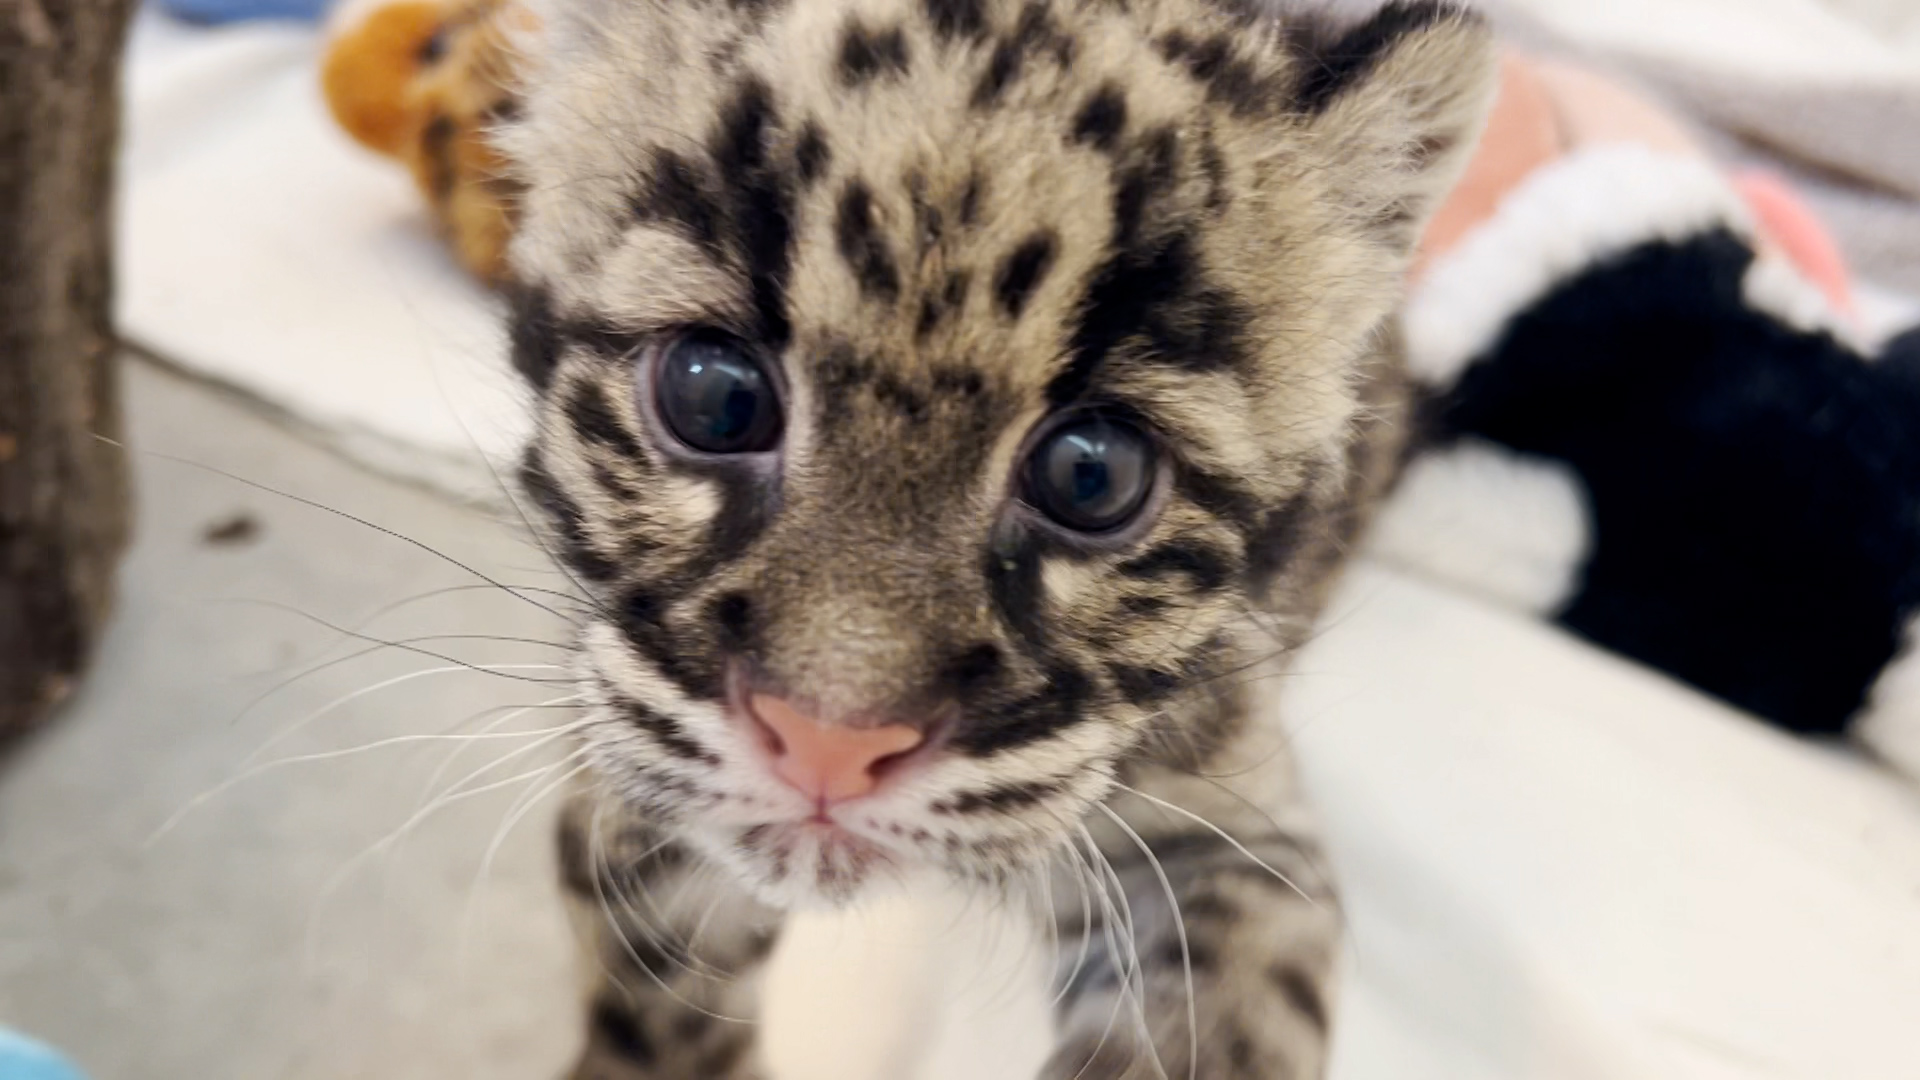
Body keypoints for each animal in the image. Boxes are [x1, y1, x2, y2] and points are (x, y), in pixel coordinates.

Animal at [495, 0, 1497, 1075]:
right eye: (714, 395)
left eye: (1092, 475)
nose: (827, 745)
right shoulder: (629, 734)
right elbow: (661, 977)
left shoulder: (1242, 828)